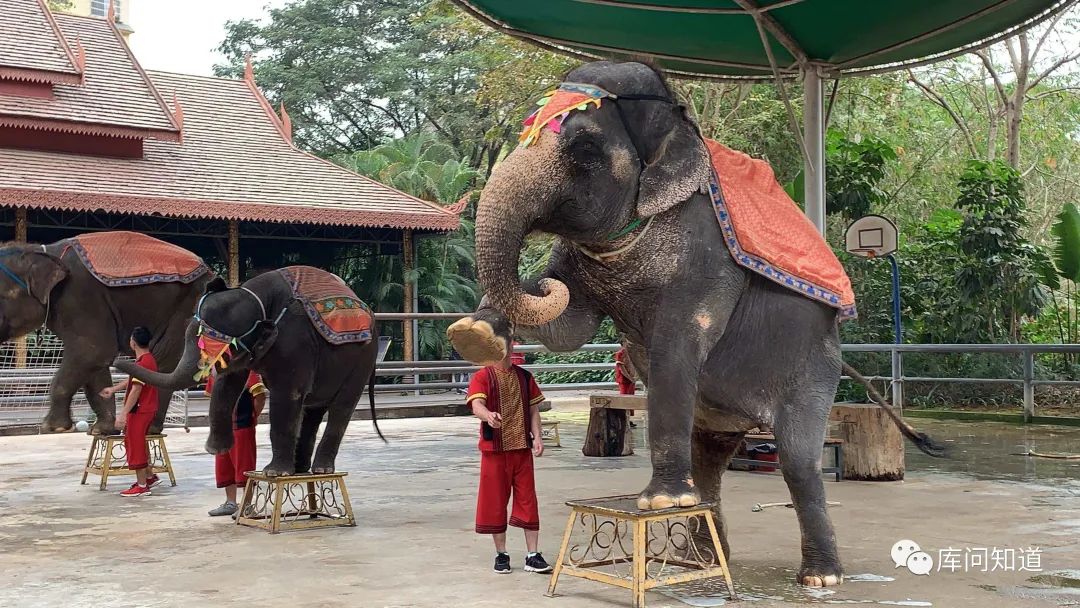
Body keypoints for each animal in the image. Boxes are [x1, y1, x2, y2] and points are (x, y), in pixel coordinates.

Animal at [0, 231, 212, 436]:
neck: (42, 250)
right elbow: (96, 361)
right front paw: (102, 430)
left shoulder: (81, 296)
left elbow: (93, 351)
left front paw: (54, 428)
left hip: (182, 310)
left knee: (161, 361)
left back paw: (148, 428)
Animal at [118, 268, 384, 477]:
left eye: (216, 347)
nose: (118, 359)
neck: (255, 297)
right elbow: (227, 382)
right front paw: (216, 451)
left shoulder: (295, 345)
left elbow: (287, 395)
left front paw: (274, 474)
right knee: (314, 409)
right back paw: (302, 470)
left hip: (363, 359)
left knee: (341, 406)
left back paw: (319, 470)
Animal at [444, 60, 937, 583]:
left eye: (585, 149)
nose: (541, 283)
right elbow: (571, 328)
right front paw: (473, 335)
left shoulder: (706, 258)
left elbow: (676, 341)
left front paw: (658, 502)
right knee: (712, 456)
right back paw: (699, 554)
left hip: (813, 370)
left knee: (799, 460)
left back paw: (818, 577)